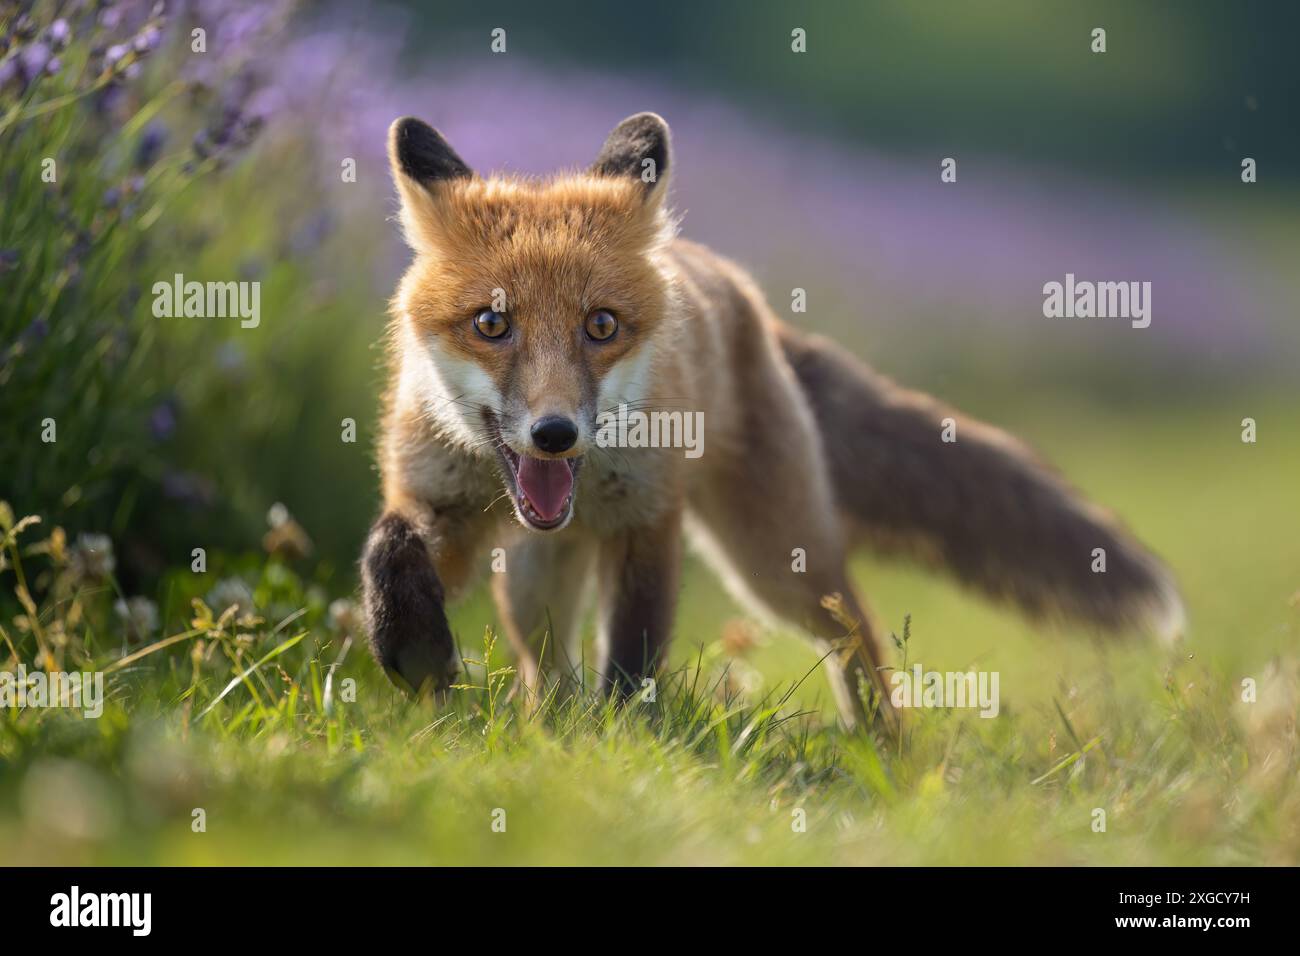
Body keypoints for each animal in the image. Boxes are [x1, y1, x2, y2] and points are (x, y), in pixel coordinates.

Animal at [361, 111, 1184, 727]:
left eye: (600, 326)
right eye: (492, 324)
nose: (555, 434)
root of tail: (741, 291)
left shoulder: (647, 518)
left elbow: (633, 653)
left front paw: (621, 737)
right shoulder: (440, 499)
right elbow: (389, 548)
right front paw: (414, 648)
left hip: (774, 557)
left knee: (854, 628)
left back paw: (886, 751)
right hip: (533, 580)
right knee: (547, 663)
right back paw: (550, 722)